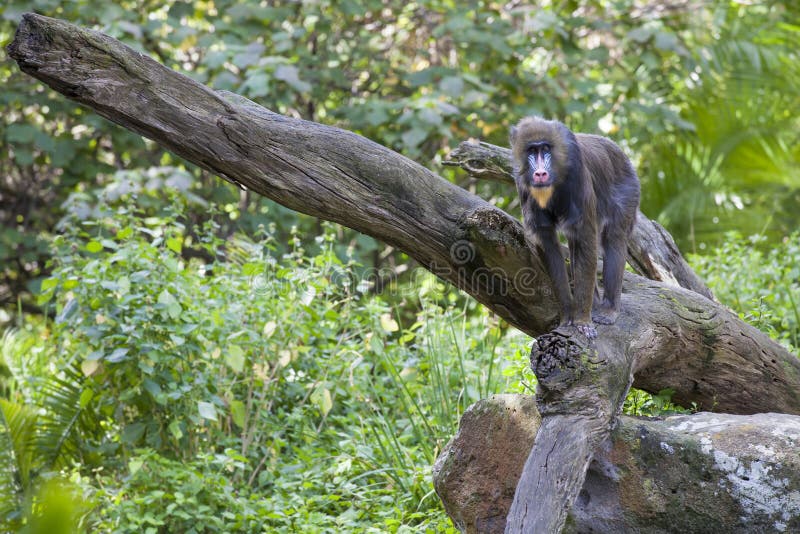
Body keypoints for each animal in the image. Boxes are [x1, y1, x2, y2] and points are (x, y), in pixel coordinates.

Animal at [510, 117, 640, 338]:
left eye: (545, 149)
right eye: (532, 150)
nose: (540, 173)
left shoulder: (578, 179)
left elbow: (586, 241)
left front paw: (582, 322)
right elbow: (550, 249)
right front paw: (566, 319)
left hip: (628, 193)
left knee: (614, 239)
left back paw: (608, 310)